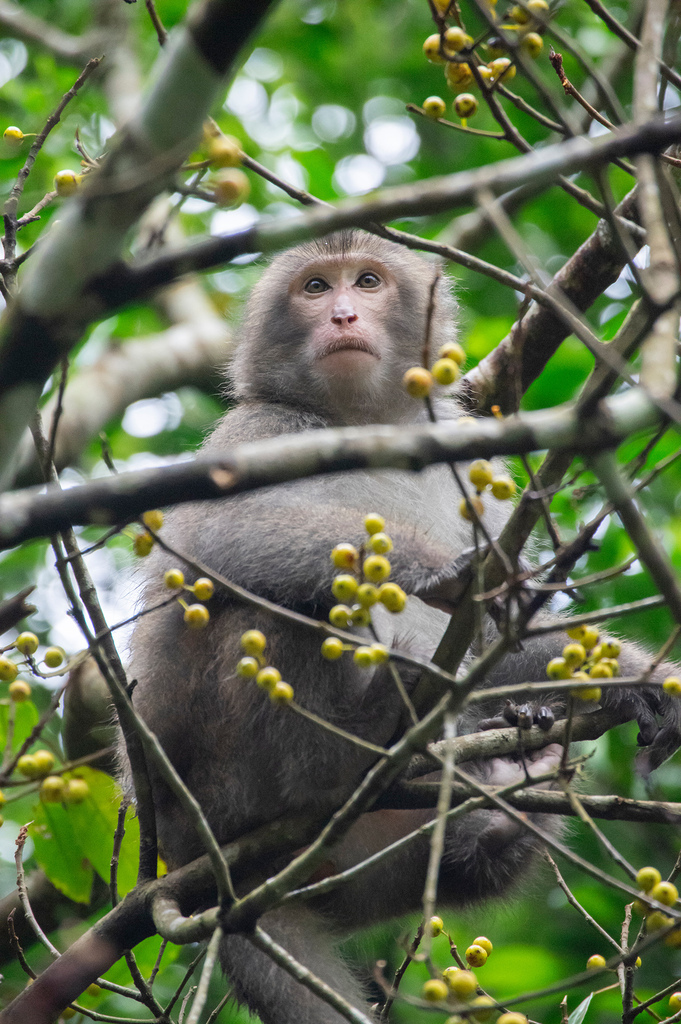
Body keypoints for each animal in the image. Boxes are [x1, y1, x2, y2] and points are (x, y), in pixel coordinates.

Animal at [125, 230, 681, 1024]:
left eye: (366, 281)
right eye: (315, 288)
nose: (344, 315)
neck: (366, 427)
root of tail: (206, 868)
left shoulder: (474, 470)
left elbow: (498, 641)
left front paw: (634, 681)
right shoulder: (261, 428)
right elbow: (209, 541)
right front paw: (436, 571)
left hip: (371, 869)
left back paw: (500, 808)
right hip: (223, 775)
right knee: (282, 610)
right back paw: (365, 733)